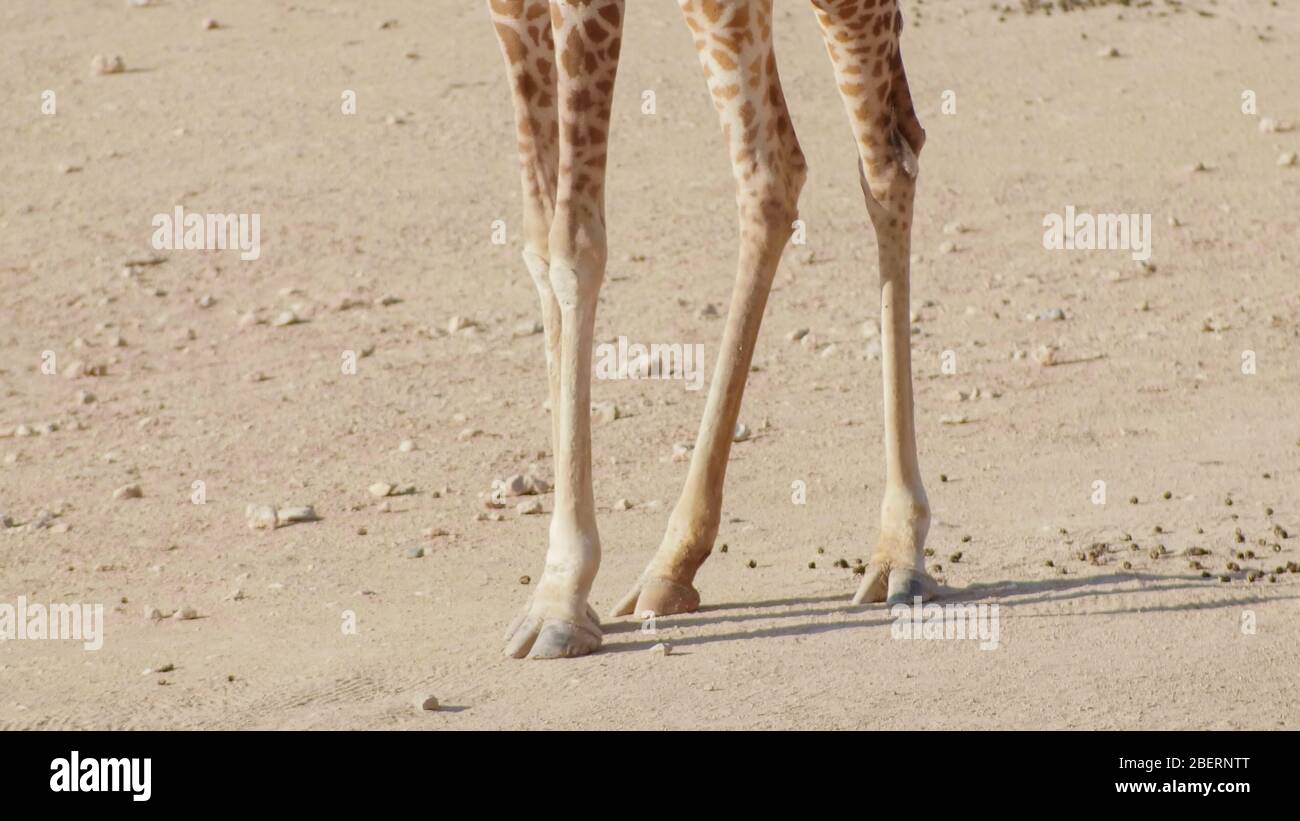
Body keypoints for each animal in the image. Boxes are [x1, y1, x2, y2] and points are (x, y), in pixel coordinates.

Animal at [490, 0, 934, 659]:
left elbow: (576, 243)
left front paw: (561, 601)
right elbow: (540, 239)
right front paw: (561, 593)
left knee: (886, 156)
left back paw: (898, 553)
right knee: (775, 169)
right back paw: (671, 565)